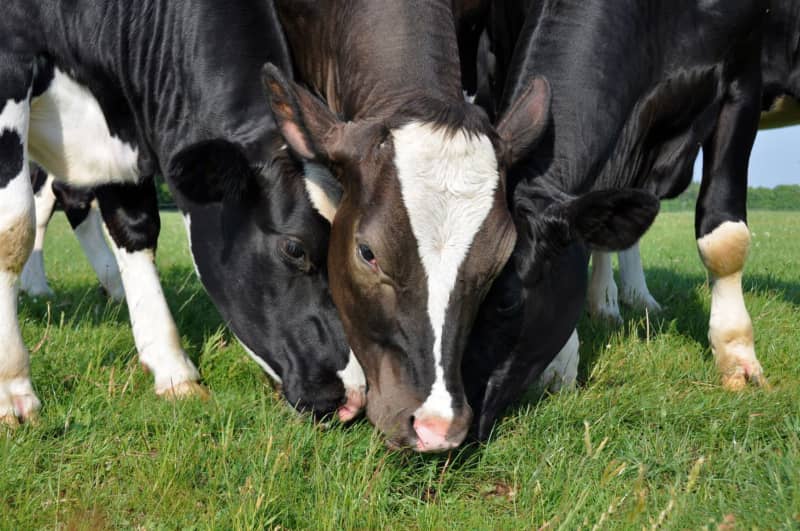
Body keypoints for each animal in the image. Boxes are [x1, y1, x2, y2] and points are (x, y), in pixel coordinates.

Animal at [0, 0, 365, 426]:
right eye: (294, 248)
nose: (355, 398)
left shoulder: (124, 121)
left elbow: (134, 227)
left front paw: (172, 369)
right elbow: (13, 228)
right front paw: (11, 389)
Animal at [461, 0, 767, 440]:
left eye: (506, 301)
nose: (447, 423)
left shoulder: (744, 72)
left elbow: (724, 238)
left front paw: (736, 355)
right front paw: (561, 363)